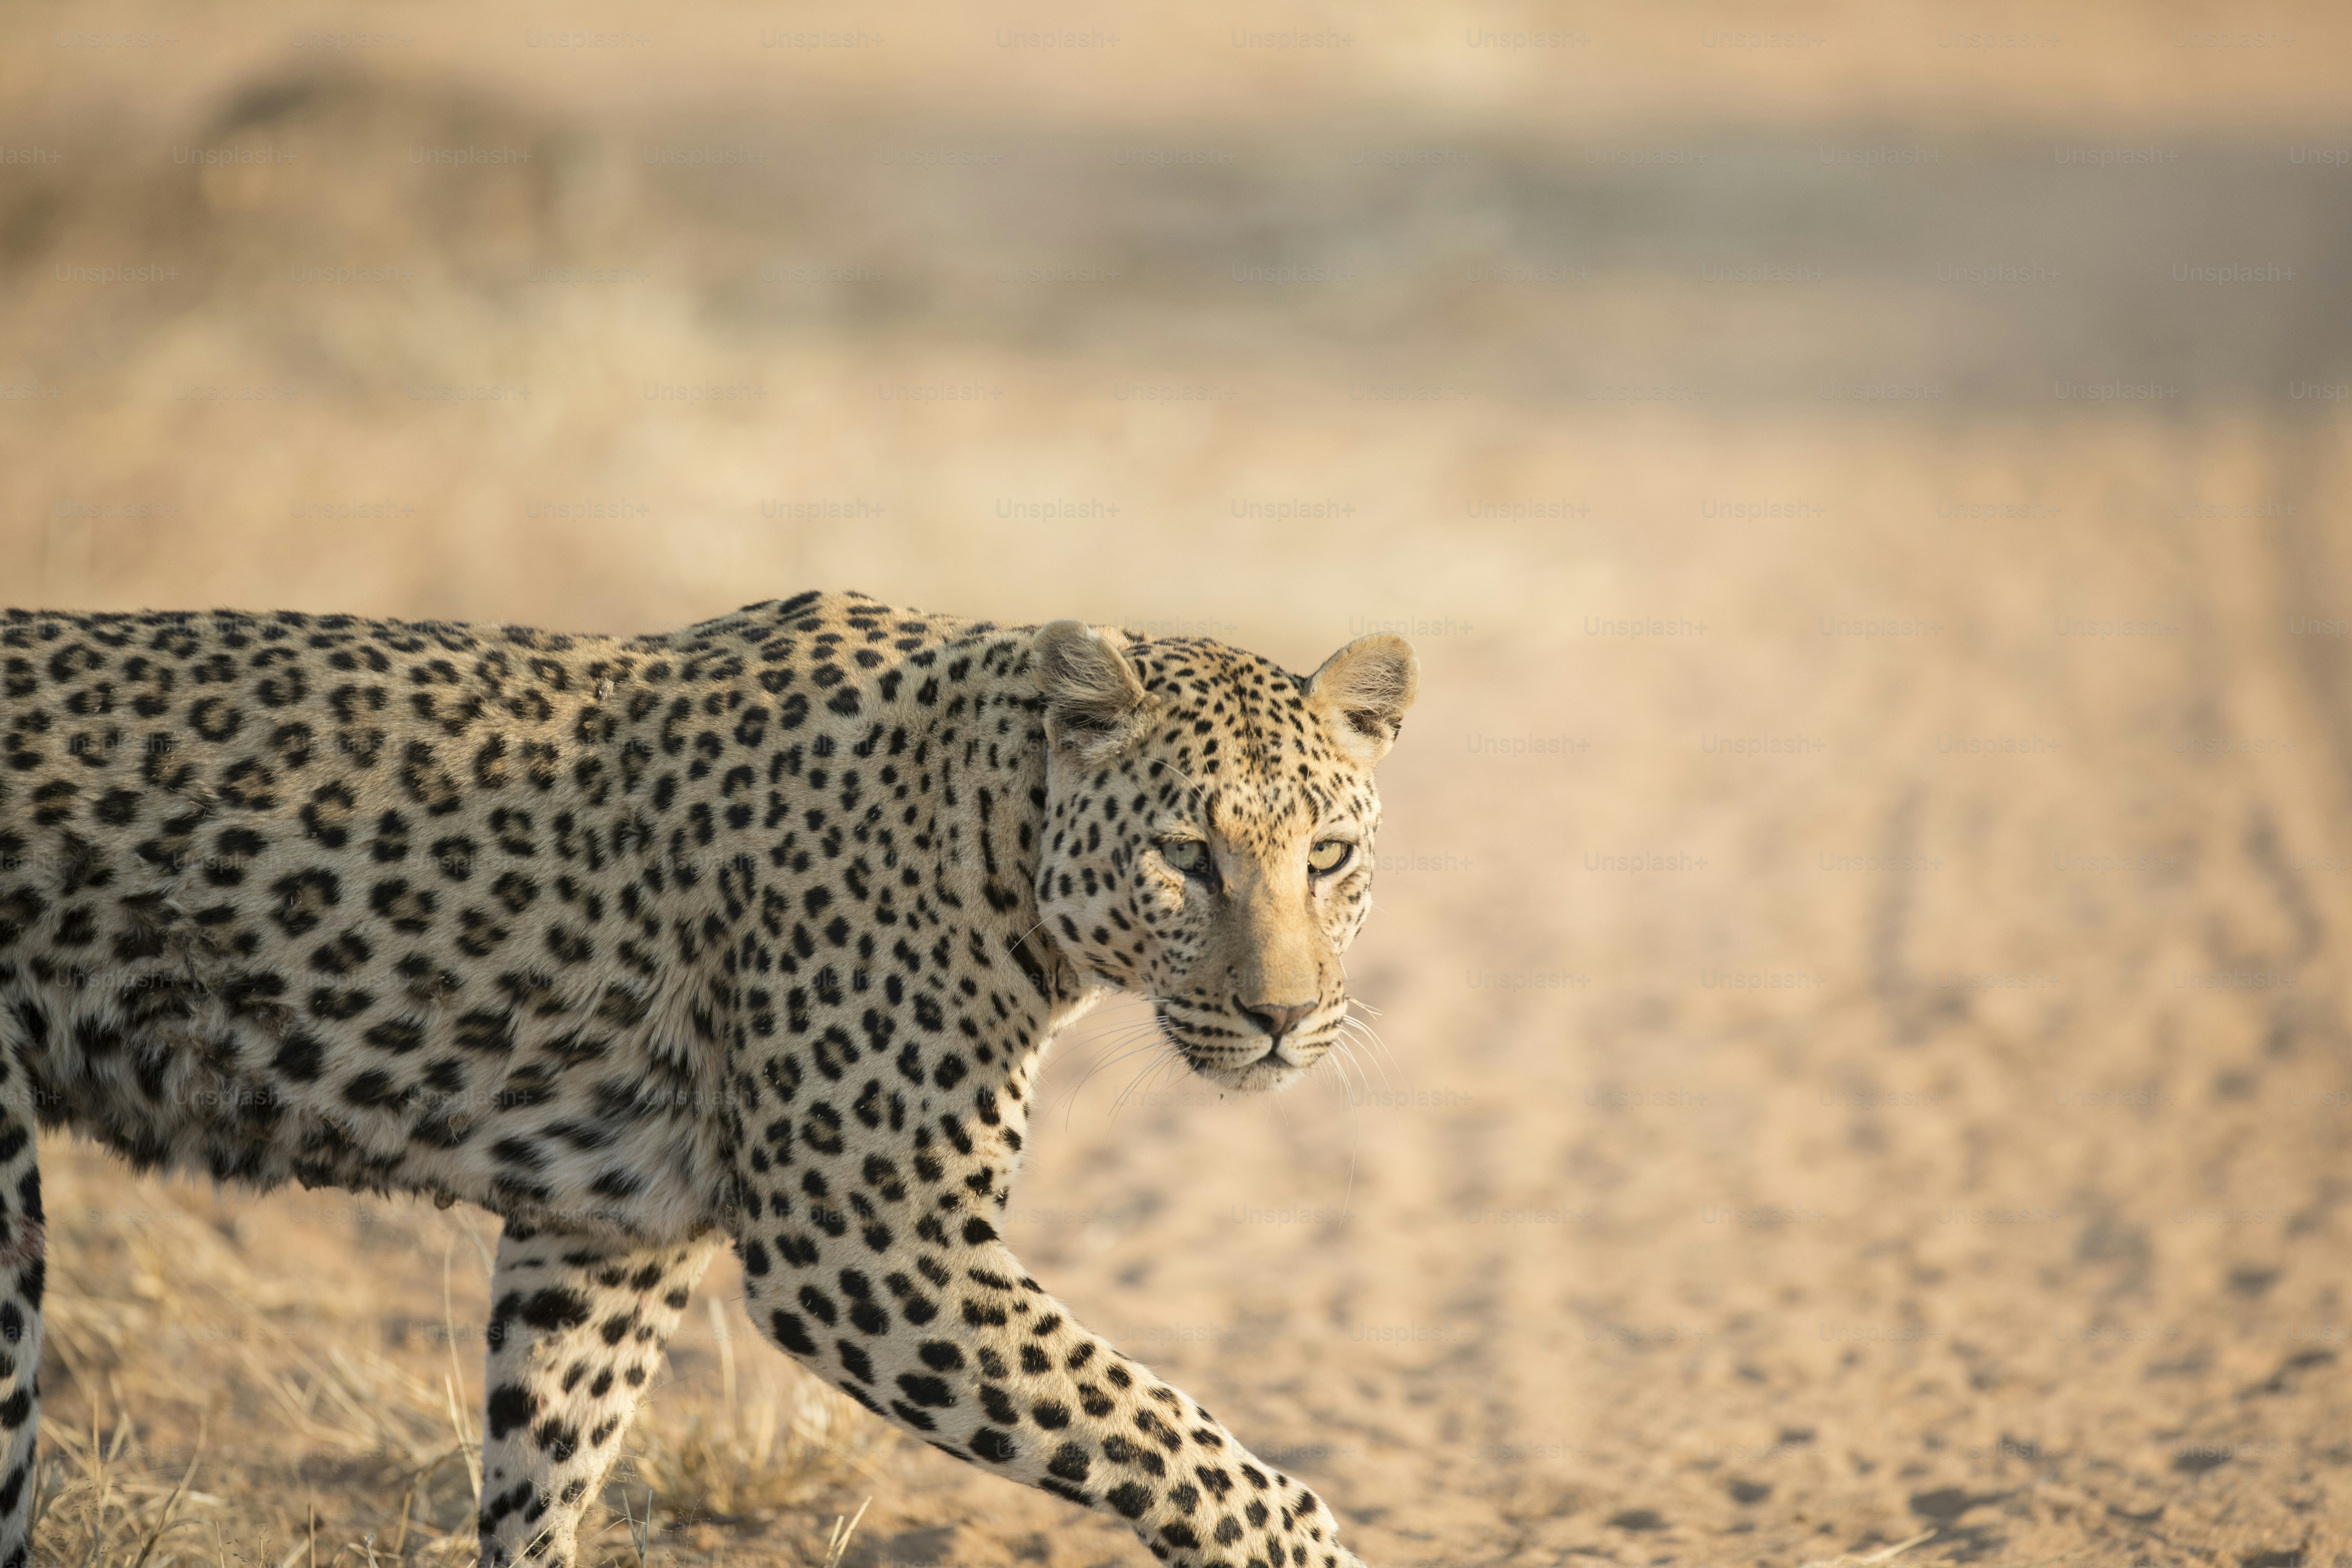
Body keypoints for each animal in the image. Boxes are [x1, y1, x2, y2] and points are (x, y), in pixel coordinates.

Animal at [0, 590, 1419, 1568]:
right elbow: (1176, 1444)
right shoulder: (869, 1244)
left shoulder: (609, 1234)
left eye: (1327, 855)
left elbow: (544, 1464)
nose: (1284, 1017)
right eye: (1183, 856)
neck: (993, 832)